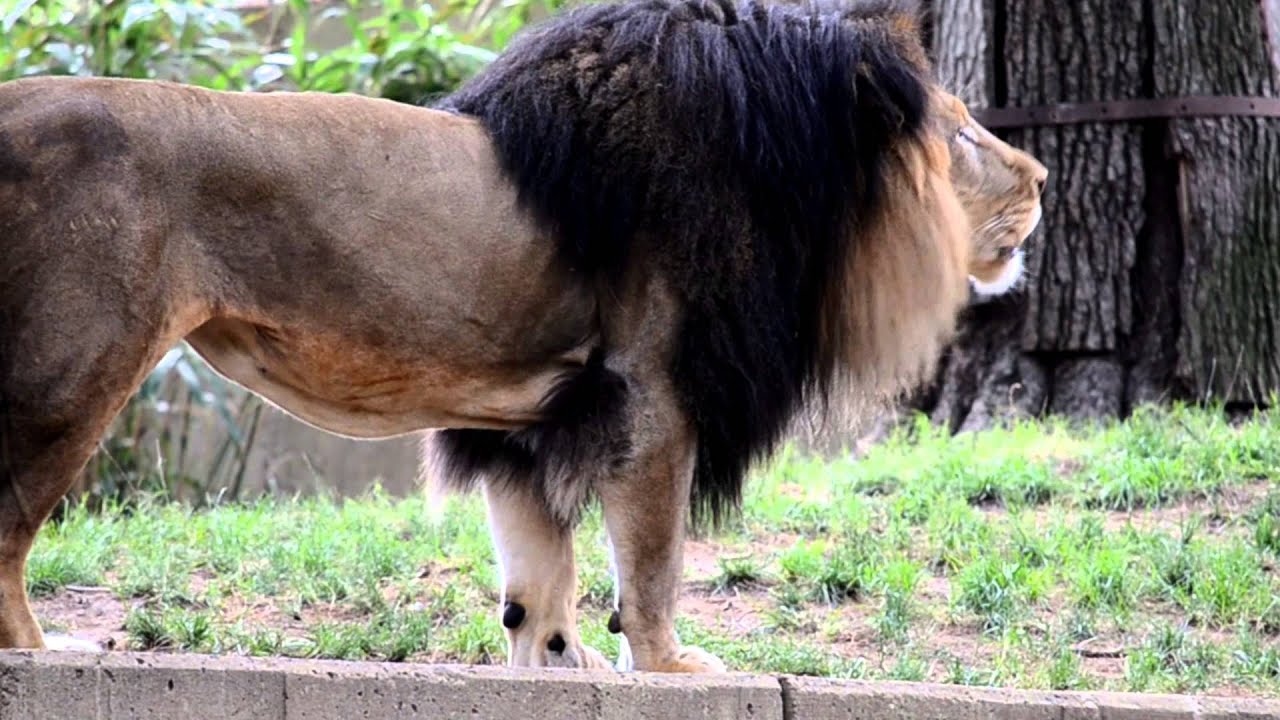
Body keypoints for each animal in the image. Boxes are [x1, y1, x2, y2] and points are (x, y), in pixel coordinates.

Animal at [0, 0, 1045, 673]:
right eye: (963, 136)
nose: (1040, 177)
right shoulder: (651, 398)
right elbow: (653, 565)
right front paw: (671, 669)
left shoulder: (528, 426)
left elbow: (539, 583)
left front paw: (558, 669)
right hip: (75, 366)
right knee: (10, 523)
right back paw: (44, 652)